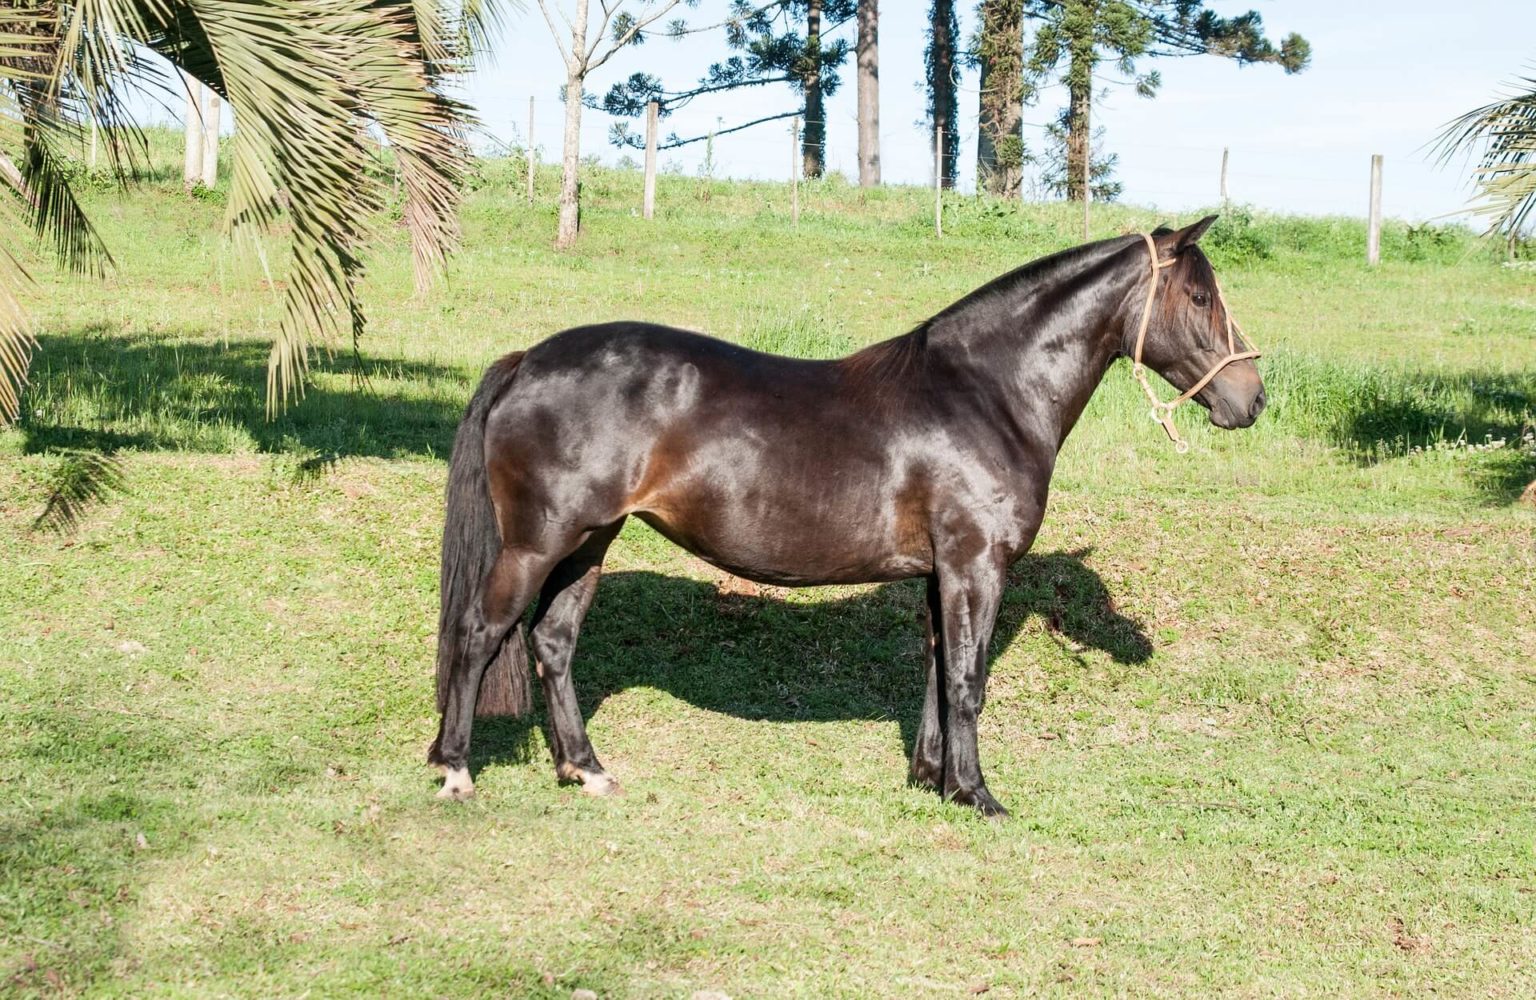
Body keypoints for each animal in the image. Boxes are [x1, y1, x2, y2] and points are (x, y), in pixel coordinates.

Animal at [427, 216, 1265, 816]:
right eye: (1199, 298)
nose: (1251, 398)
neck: (983, 394)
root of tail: (528, 361)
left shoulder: (941, 573)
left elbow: (937, 667)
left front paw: (932, 779)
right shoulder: (975, 565)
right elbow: (968, 680)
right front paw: (978, 795)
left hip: (589, 541)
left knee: (553, 642)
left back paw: (586, 770)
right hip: (538, 542)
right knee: (478, 633)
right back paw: (456, 769)